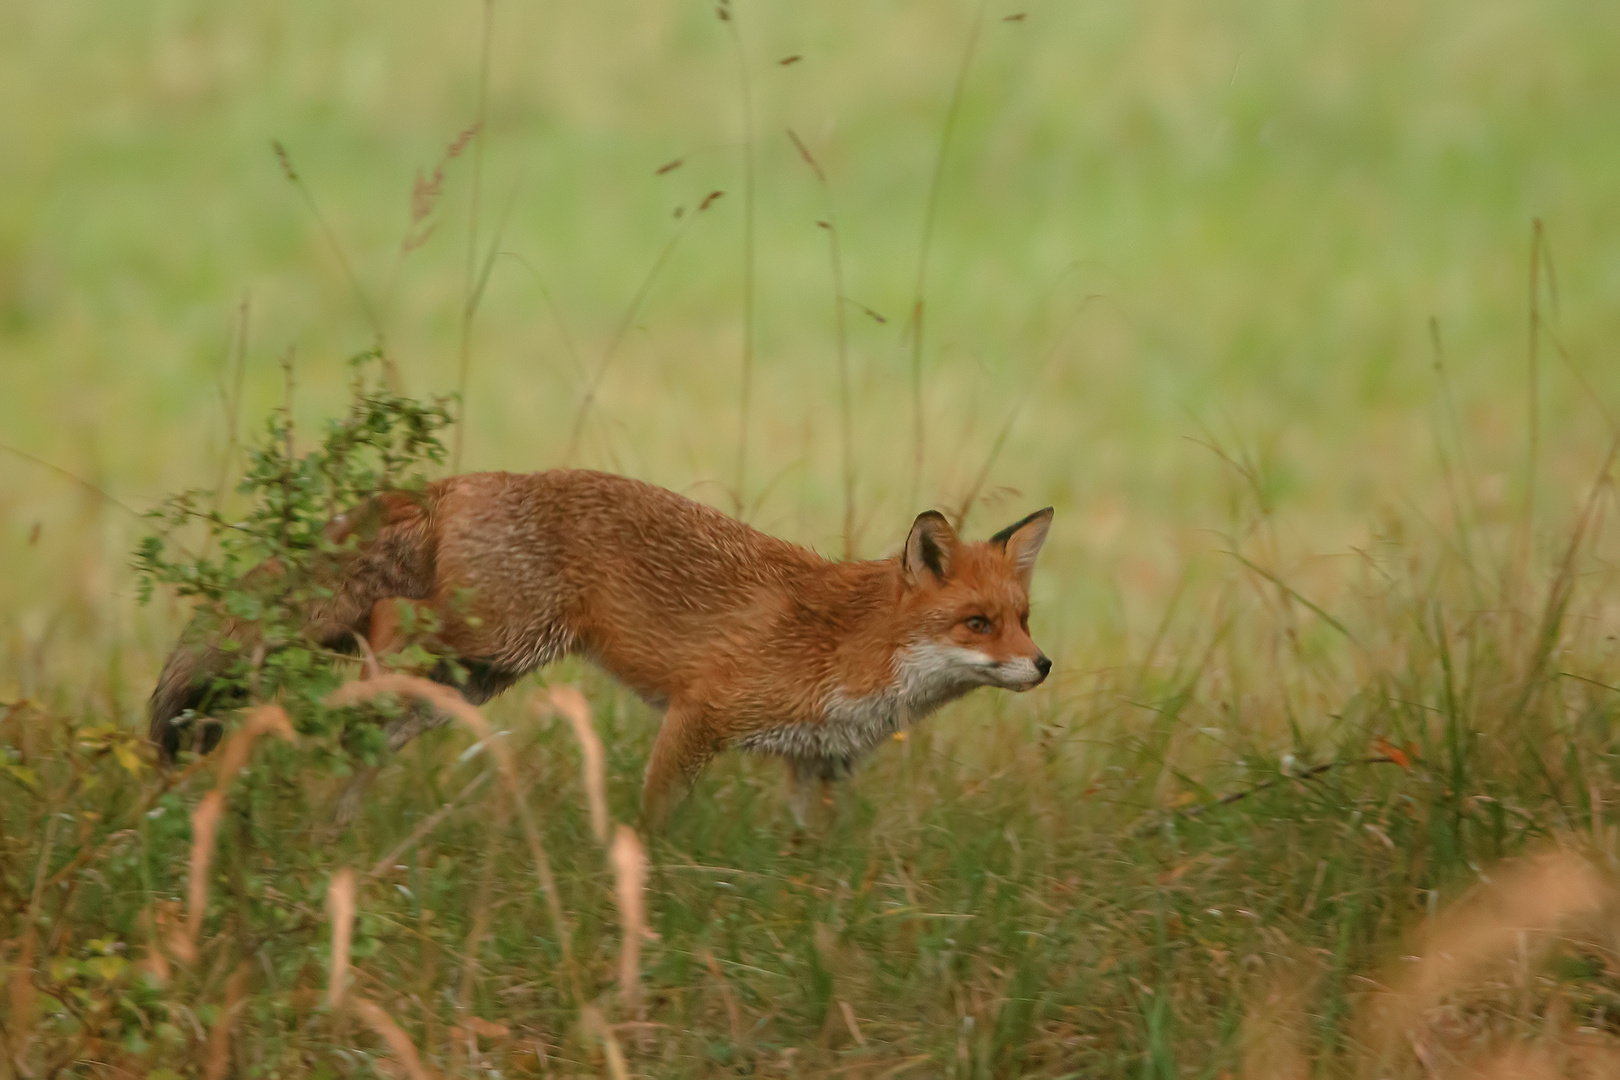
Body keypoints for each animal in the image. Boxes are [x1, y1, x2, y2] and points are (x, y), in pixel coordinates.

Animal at [149, 469, 1054, 827]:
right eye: (977, 624)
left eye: (1025, 617)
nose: (1044, 665)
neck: (851, 646)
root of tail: (463, 480)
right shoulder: (701, 712)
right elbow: (655, 818)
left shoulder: (816, 766)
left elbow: (813, 860)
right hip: (489, 636)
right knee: (382, 618)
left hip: (470, 679)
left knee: (372, 724)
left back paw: (333, 828)